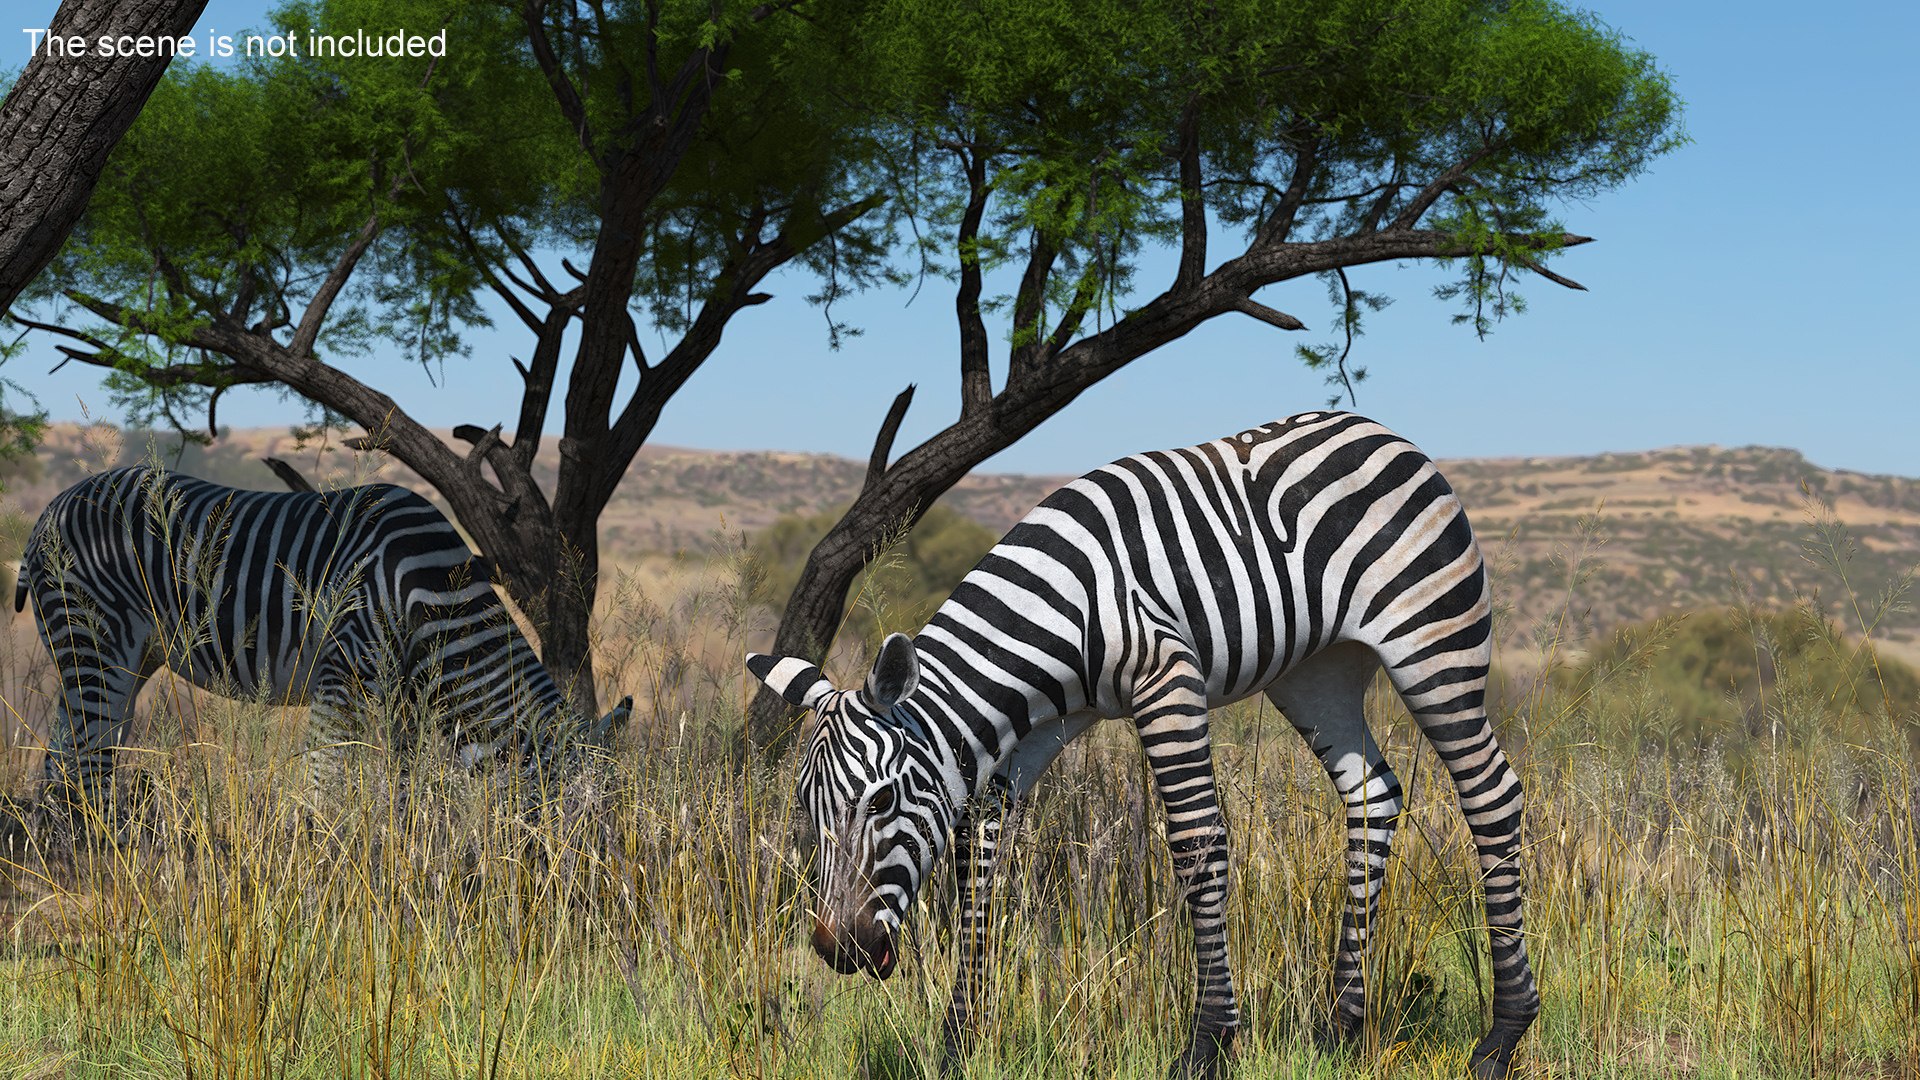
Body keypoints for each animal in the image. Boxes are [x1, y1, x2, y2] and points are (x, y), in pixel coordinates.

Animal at [16, 465, 630, 820]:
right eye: (575, 815)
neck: (428, 590)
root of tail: (53, 505)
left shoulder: (406, 699)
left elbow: (402, 790)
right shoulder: (345, 674)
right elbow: (326, 782)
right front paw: (320, 876)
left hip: (128, 658)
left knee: (69, 757)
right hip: (96, 639)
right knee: (82, 763)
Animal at [748, 411, 1537, 1080]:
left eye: (882, 800)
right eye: (808, 808)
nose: (838, 948)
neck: (1049, 617)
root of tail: (1379, 429)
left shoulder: (1167, 679)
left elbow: (1196, 844)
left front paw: (1210, 1044)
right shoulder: (1034, 732)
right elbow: (978, 858)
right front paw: (959, 1039)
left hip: (1432, 640)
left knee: (1492, 795)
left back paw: (1502, 1035)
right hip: (1318, 672)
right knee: (1372, 794)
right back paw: (1340, 1028)